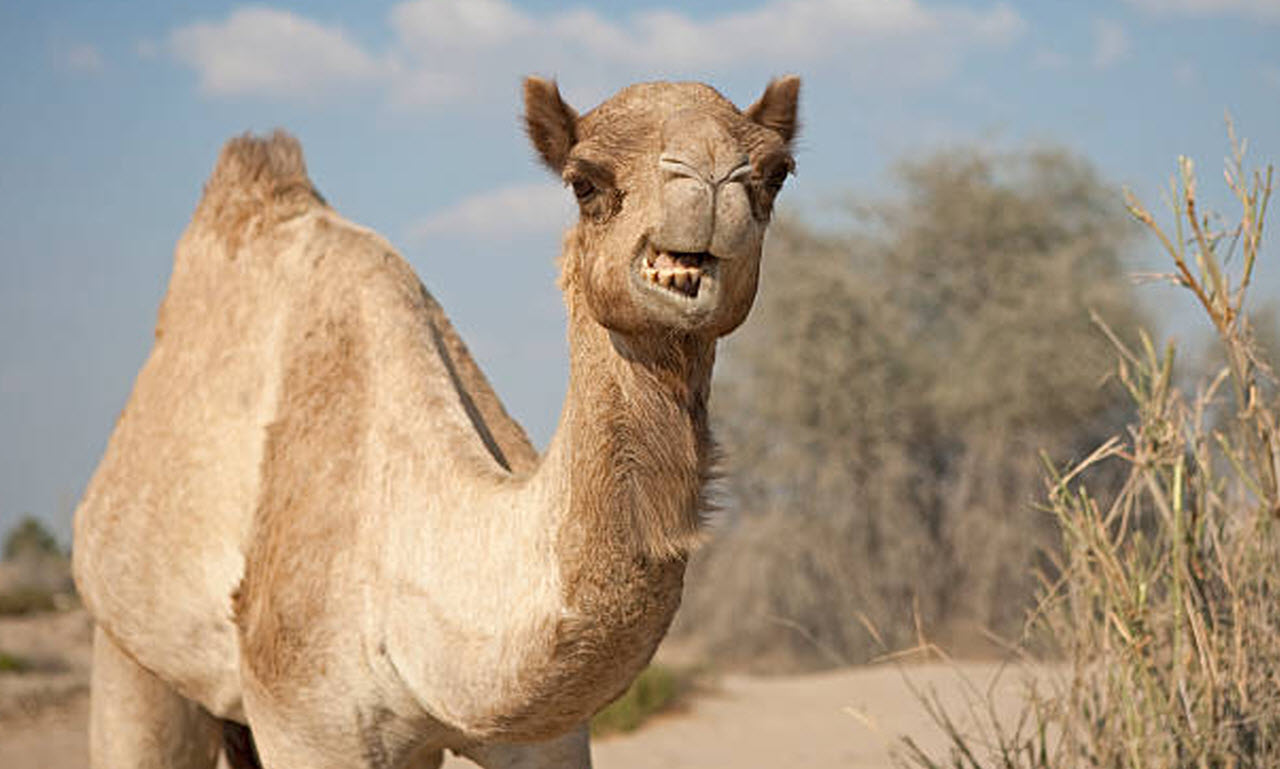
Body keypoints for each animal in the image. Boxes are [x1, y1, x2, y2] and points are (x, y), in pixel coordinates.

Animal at [71, 75, 799, 769]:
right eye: (584, 181)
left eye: (774, 174)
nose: (710, 182)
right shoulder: (310, 725)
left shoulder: (548, 736)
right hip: (129, 642)